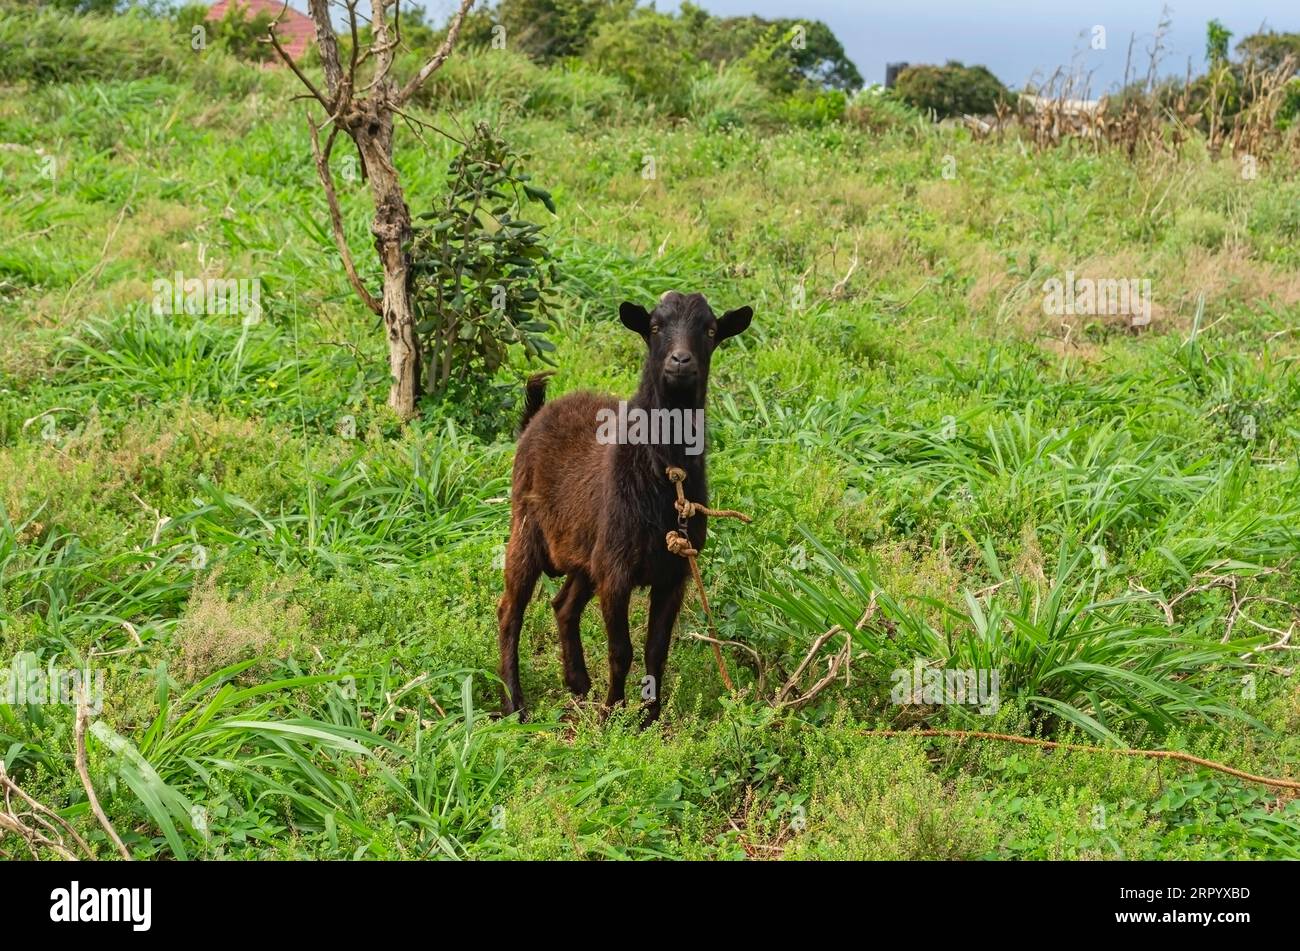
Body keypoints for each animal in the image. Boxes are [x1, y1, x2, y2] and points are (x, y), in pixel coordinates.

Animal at [497, 291, 753, 722]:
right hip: (526, 529)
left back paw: (577, 683)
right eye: (654, 327)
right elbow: (622, 651)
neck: (663, 472)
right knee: (509, 612)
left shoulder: (674, 574)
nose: (680, 361)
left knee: (563, 606)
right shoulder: (615, 572)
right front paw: (612, 714)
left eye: (711, 330)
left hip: (586, 554)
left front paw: (648, 716)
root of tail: (536, 415)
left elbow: (655, 650)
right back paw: (515, 704)